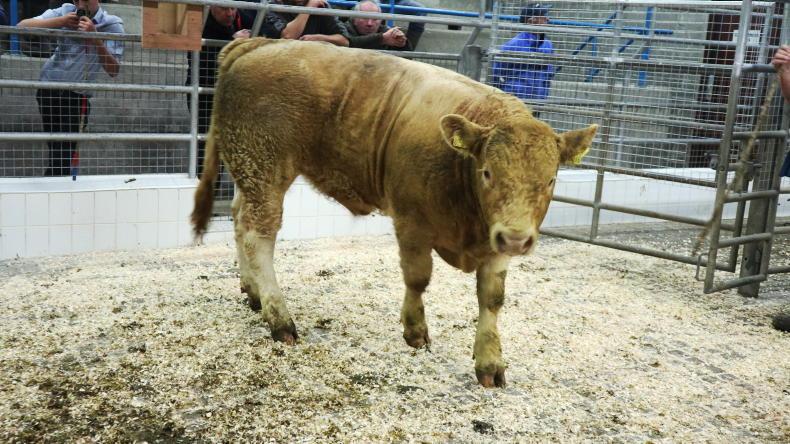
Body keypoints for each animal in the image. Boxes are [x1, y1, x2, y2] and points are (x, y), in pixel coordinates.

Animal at [191, 38, 597, 387]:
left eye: (551, 179)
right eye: (487, 172)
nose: (515, 238)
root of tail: (261, 43)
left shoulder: (494, 244)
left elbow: (492, 299)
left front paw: (490, 363)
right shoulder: (412, 222)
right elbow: (418, 278)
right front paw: (415, 331)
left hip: (251, 176)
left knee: (239, 219)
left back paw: (253, 292)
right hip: (265, 170)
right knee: (257, 236)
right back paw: (279, 318)